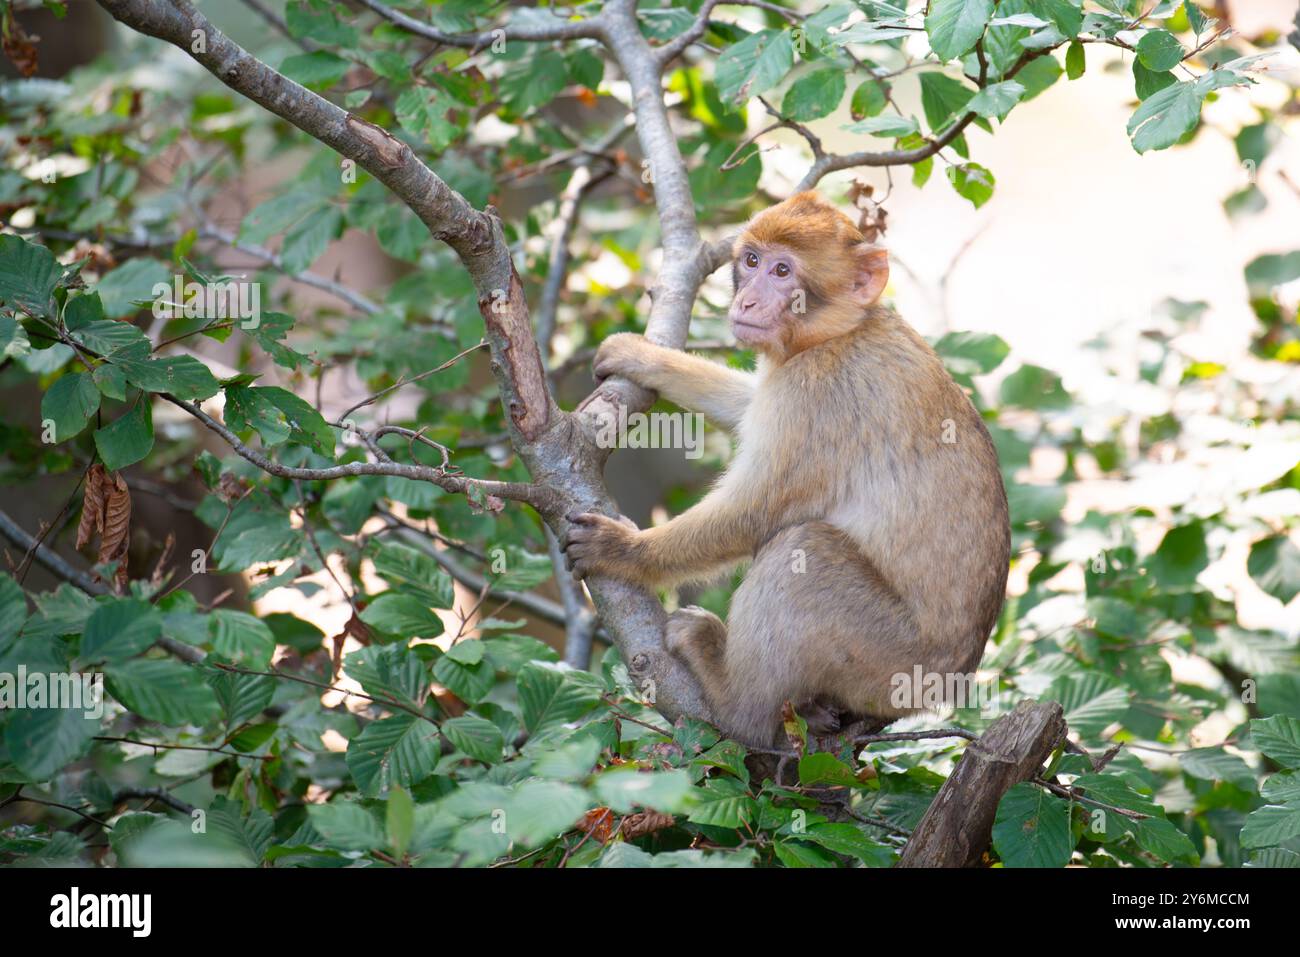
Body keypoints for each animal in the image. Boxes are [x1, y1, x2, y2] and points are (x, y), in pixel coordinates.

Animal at [562, 191, 1010, 747]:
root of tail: (950, 686)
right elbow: (748, 406)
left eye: (782, 271)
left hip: (889, 661)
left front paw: (624, 550)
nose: (747, 302)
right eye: (752, 261)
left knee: (804, 550)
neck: (836, 334)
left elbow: (754, 512)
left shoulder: (815, 395)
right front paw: (643, 357)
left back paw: (735, 702)